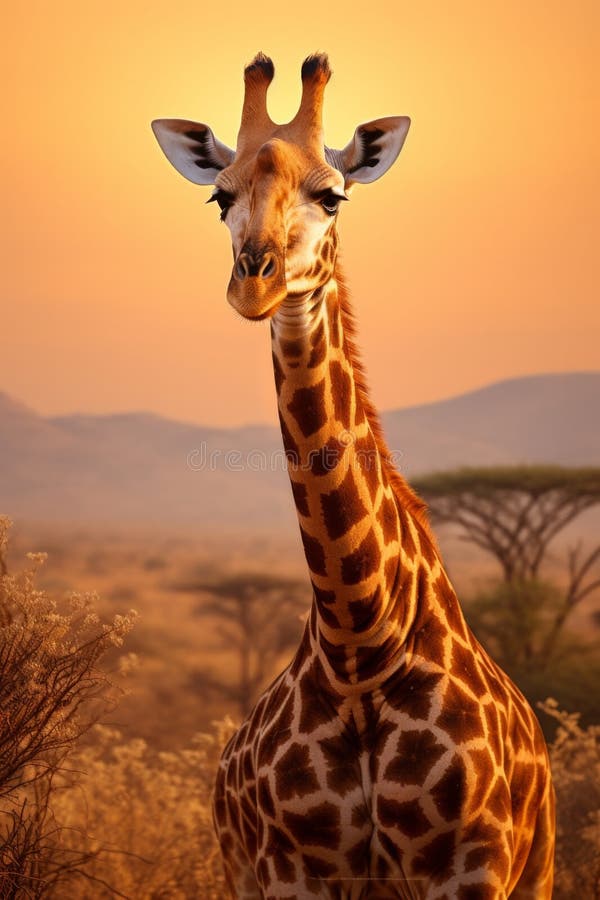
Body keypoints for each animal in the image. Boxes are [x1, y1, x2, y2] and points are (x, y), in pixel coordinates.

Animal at [152, 53, 555, 900]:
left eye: (332, 193)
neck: (361, 647)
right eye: (219, 196)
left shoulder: (470, 868)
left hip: (536, 868)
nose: (255, 281)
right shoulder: (289, 870)